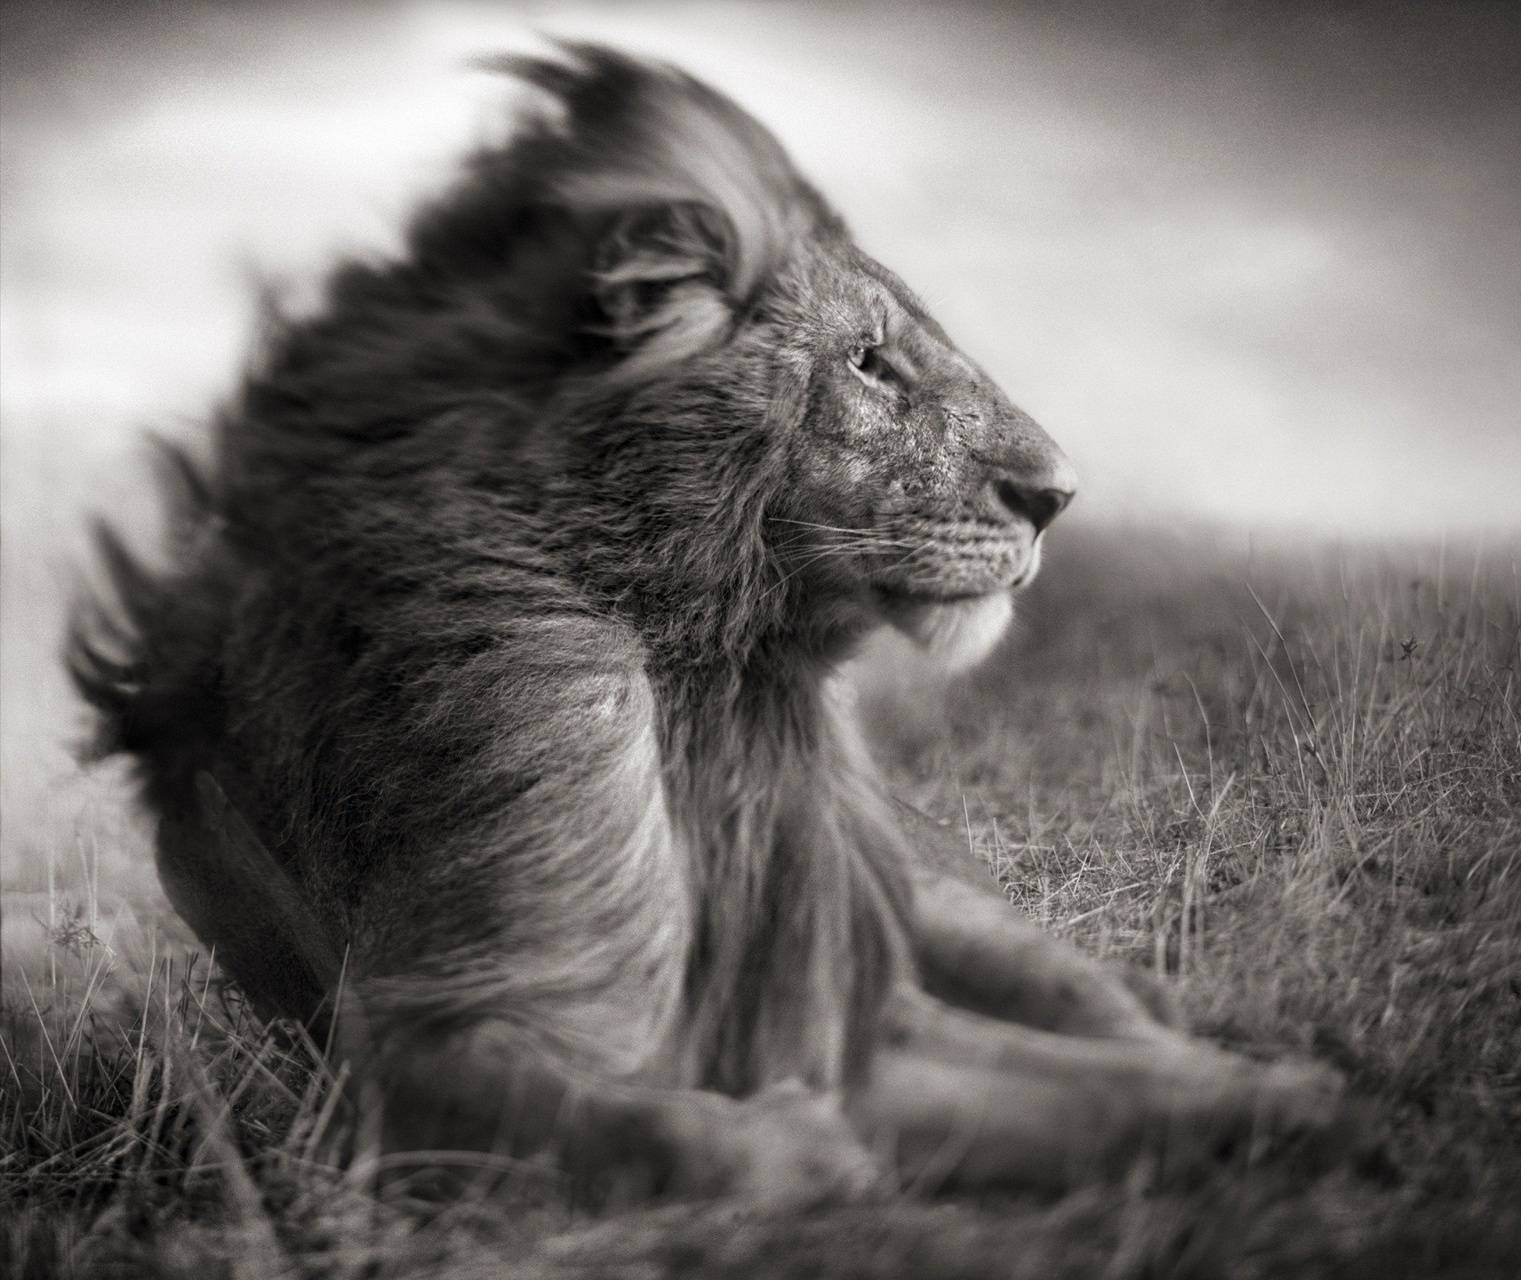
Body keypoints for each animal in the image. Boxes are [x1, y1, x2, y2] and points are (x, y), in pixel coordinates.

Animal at [69, 43, 1341, 1205]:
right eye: (871, 364)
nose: (1059, 496)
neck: (711, 678)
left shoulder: (850, 1004)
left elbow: (1118, 1085)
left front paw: (1300, 1096)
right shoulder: (409, 1050)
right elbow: (647, 1126)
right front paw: (801, 1149)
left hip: (938, 901)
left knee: (1093, 993)